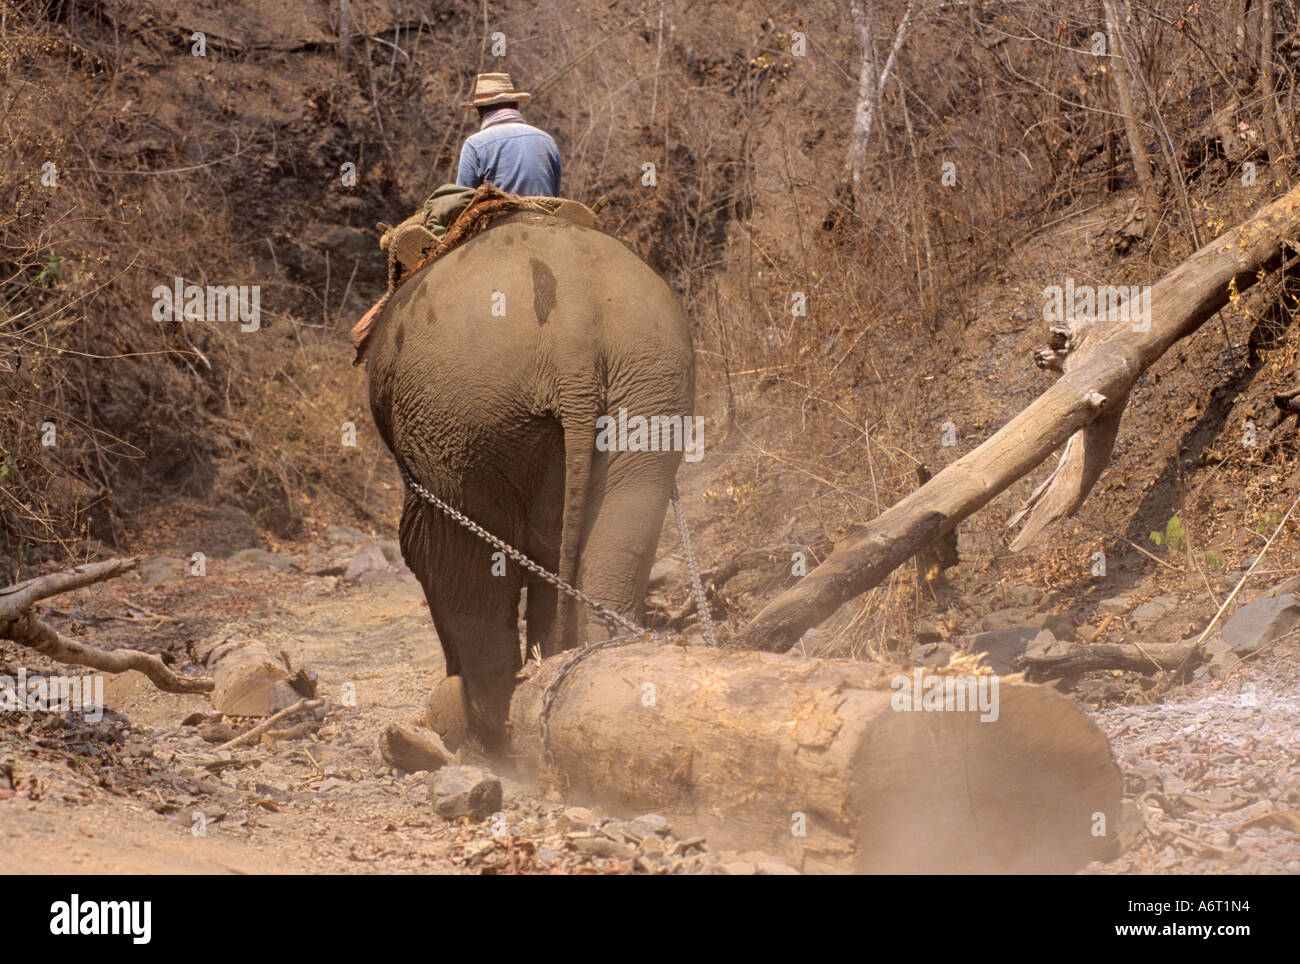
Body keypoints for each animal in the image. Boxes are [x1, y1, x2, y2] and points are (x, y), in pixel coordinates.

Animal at [364, 209, 695, 749]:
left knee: (460, 557)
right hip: (652, 389)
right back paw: (581, 669)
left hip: (458, 414)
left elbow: (424, 551)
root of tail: (573, 331)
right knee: (622, 531)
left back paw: (483, 730)